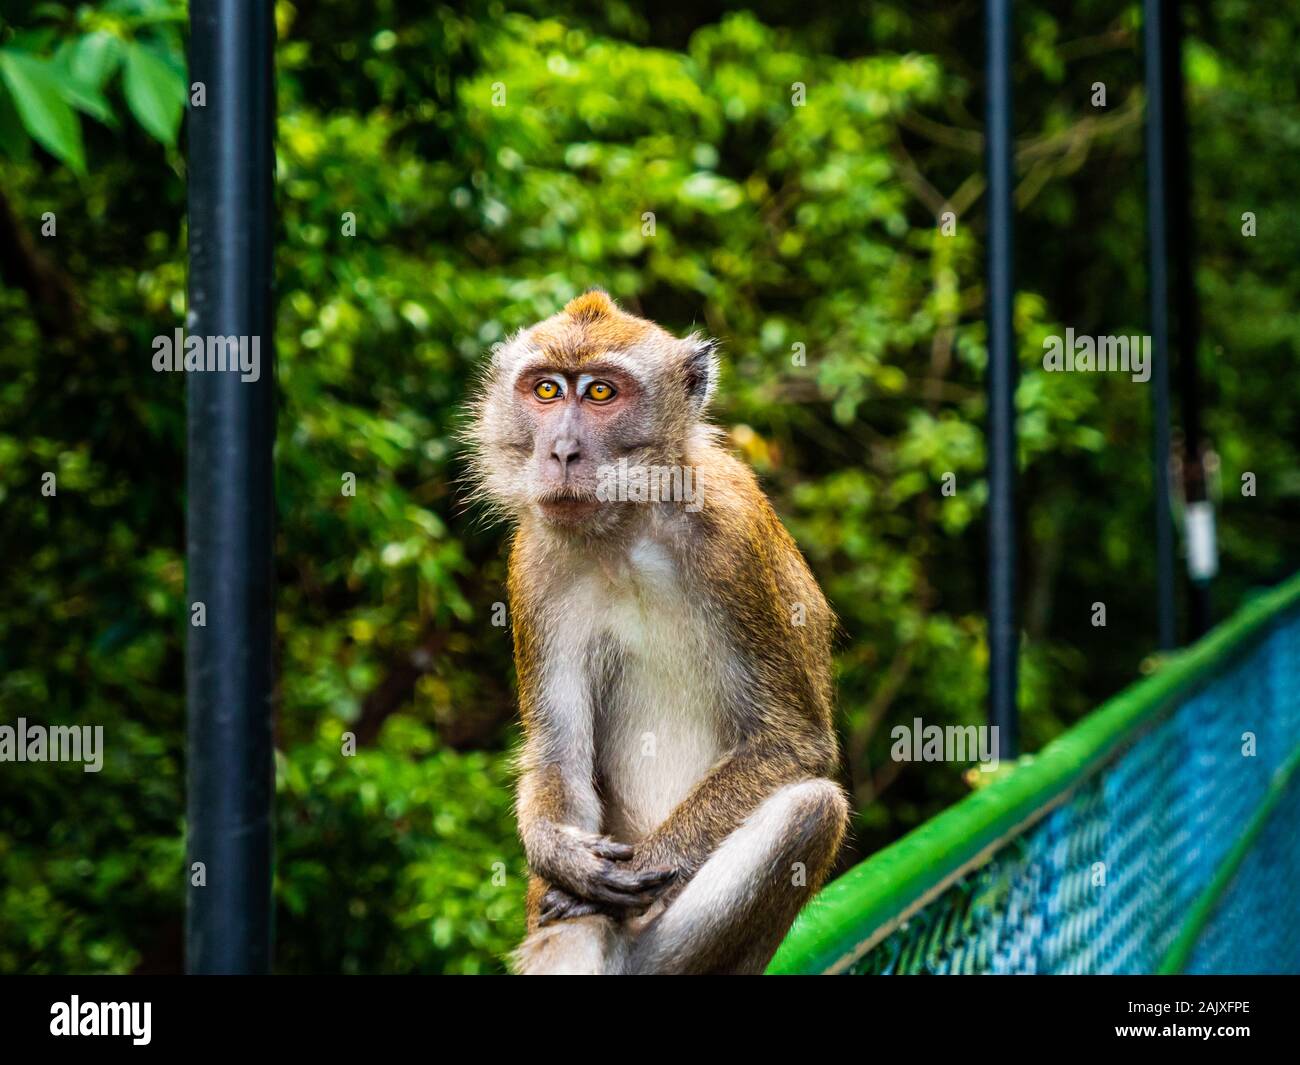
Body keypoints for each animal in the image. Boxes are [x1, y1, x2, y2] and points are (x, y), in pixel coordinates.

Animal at [465, 290, 849, 974]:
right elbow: (559, 755)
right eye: (545, 390)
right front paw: (562, 858)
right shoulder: (535, 564)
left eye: (600, 393)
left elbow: (791, 742)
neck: (627, 528)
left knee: (814, 808)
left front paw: (639, 864)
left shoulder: (732, 537)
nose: (561, 452)